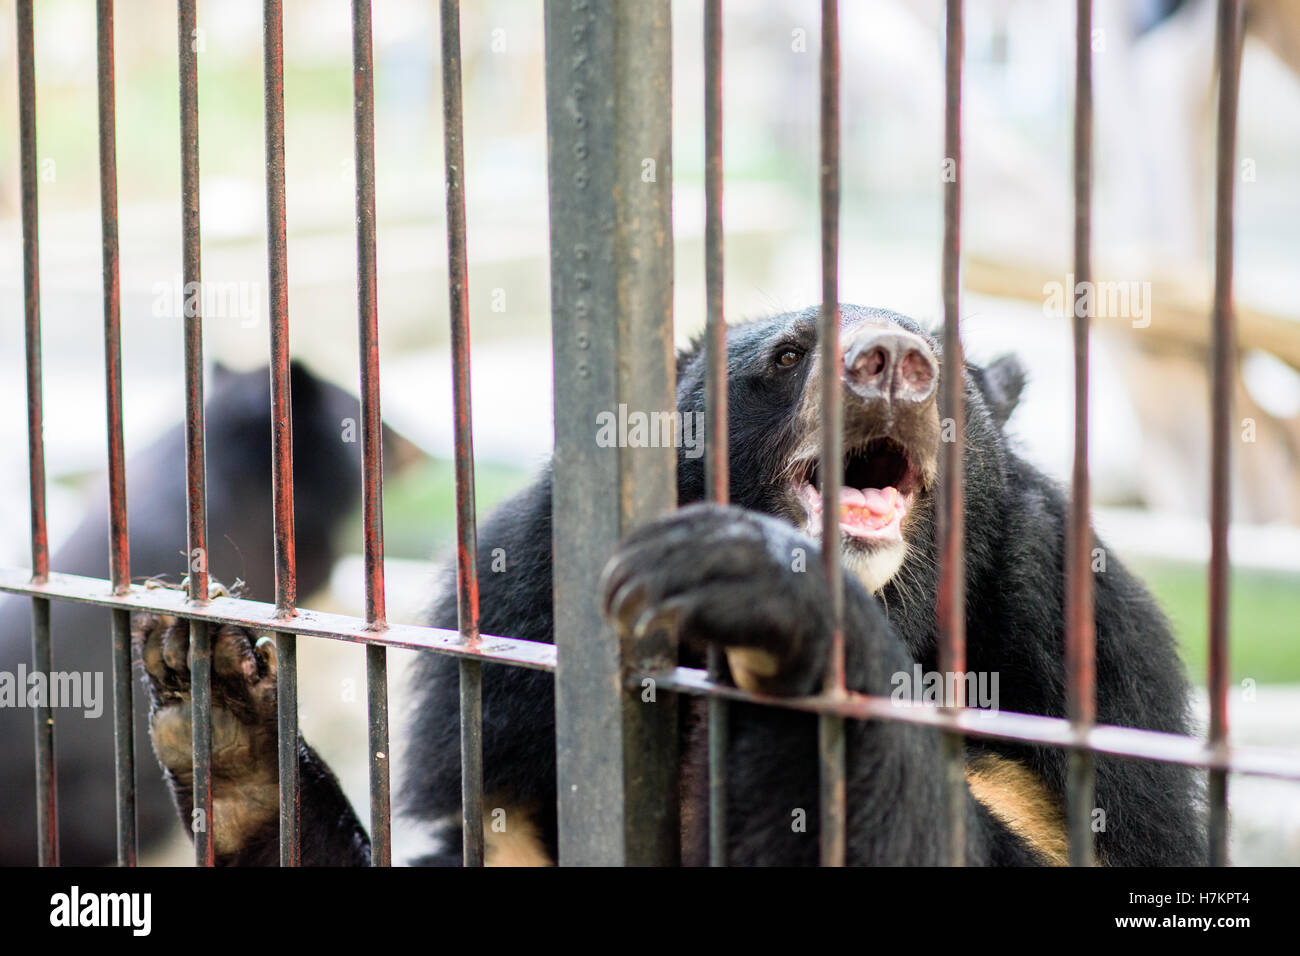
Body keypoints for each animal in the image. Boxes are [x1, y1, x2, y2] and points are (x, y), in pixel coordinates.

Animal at [132, 306, 1205, 866]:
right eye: (788, 356)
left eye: (937, 368)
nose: (894, 362)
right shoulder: (523, 636)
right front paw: (229, 725)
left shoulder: (1079, 635)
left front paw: (778, 598)